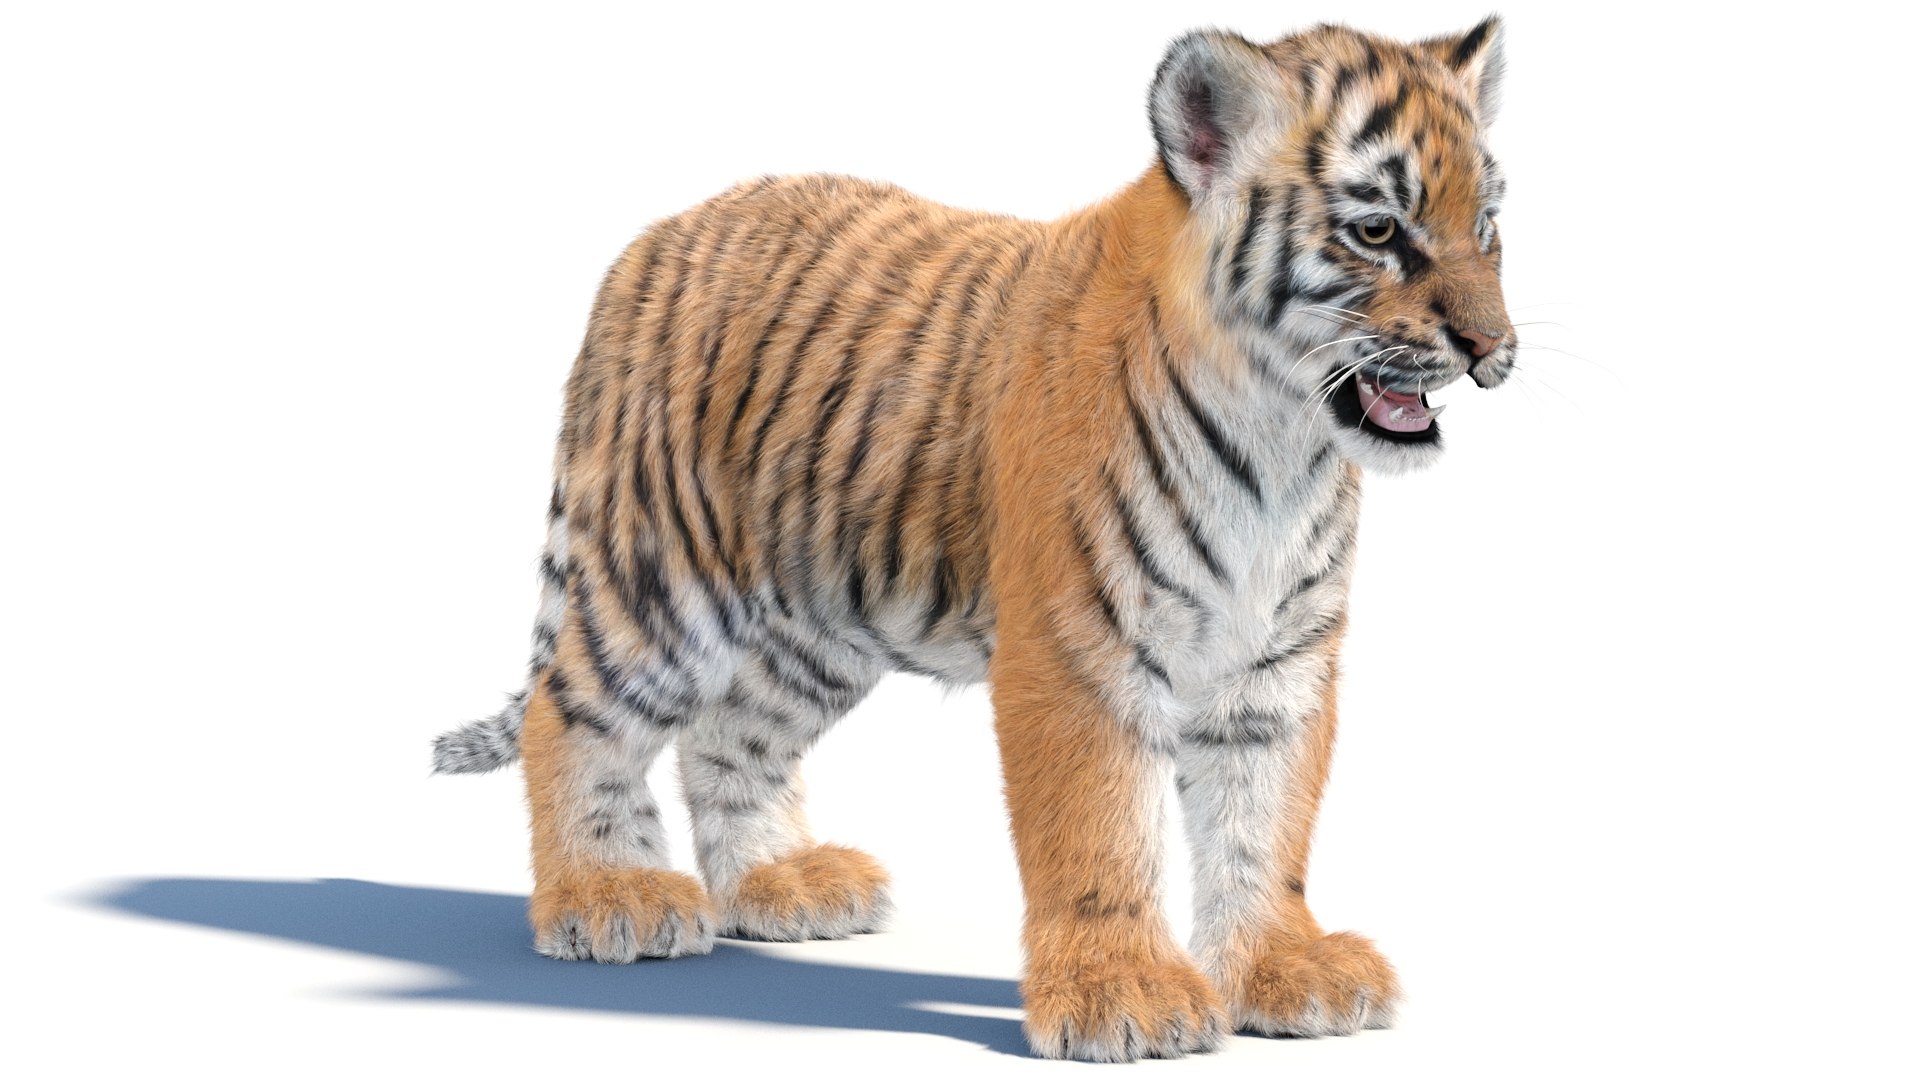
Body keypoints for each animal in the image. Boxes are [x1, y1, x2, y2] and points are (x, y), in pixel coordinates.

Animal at [433, 17, 1516, 1062]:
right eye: (1378, 230)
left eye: (1488, 227)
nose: (1491, 347)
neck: (1283, 443)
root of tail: (657, 237)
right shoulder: (1080, 654)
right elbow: (1098, 828)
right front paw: (1123, 996)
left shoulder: (1277, 666)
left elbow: (1265, 825)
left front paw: (1283, 969)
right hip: (660, 579)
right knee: (571, 715)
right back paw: (605, 899)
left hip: (818, 629)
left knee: (727, 736)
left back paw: (781, 883)